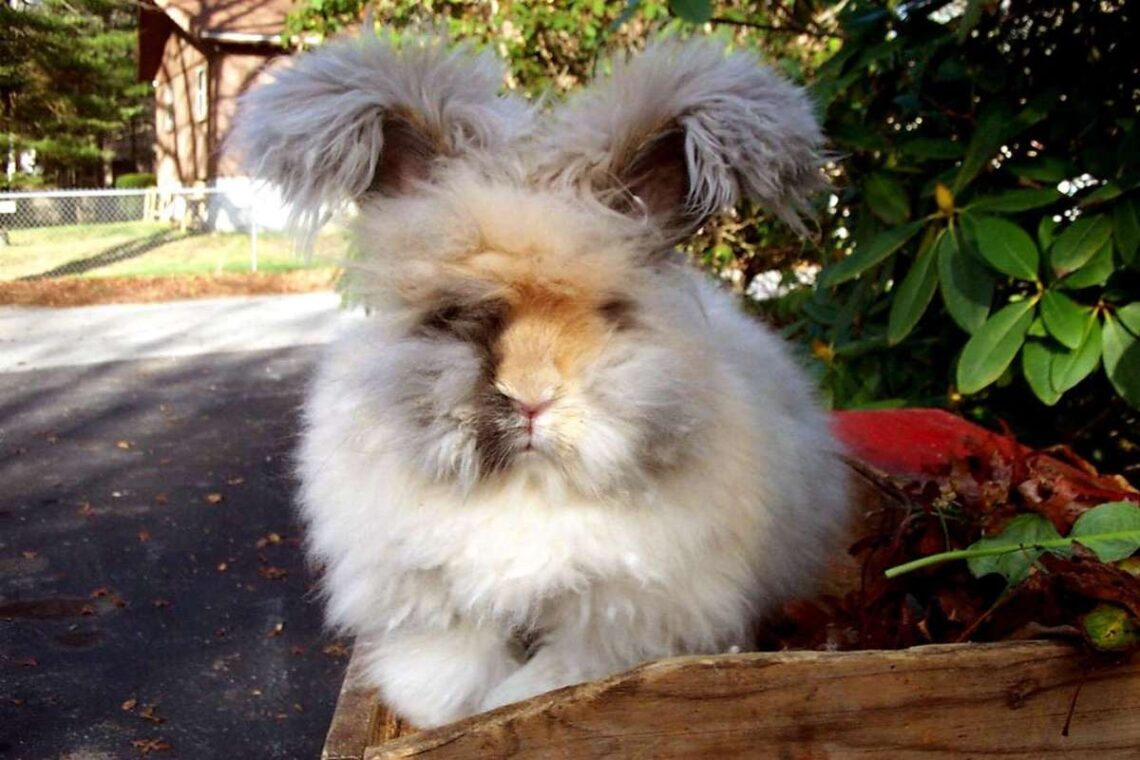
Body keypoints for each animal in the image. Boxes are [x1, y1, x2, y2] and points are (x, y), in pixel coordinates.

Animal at [231, 28, 850, 728]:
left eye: (608, 312)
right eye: (451, 314)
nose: (531, 399)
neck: (528, 489)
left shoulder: (624, 619)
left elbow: (548, 684)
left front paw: (509, 708)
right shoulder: (431, 602)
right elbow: (454, 669)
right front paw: (452, 716)